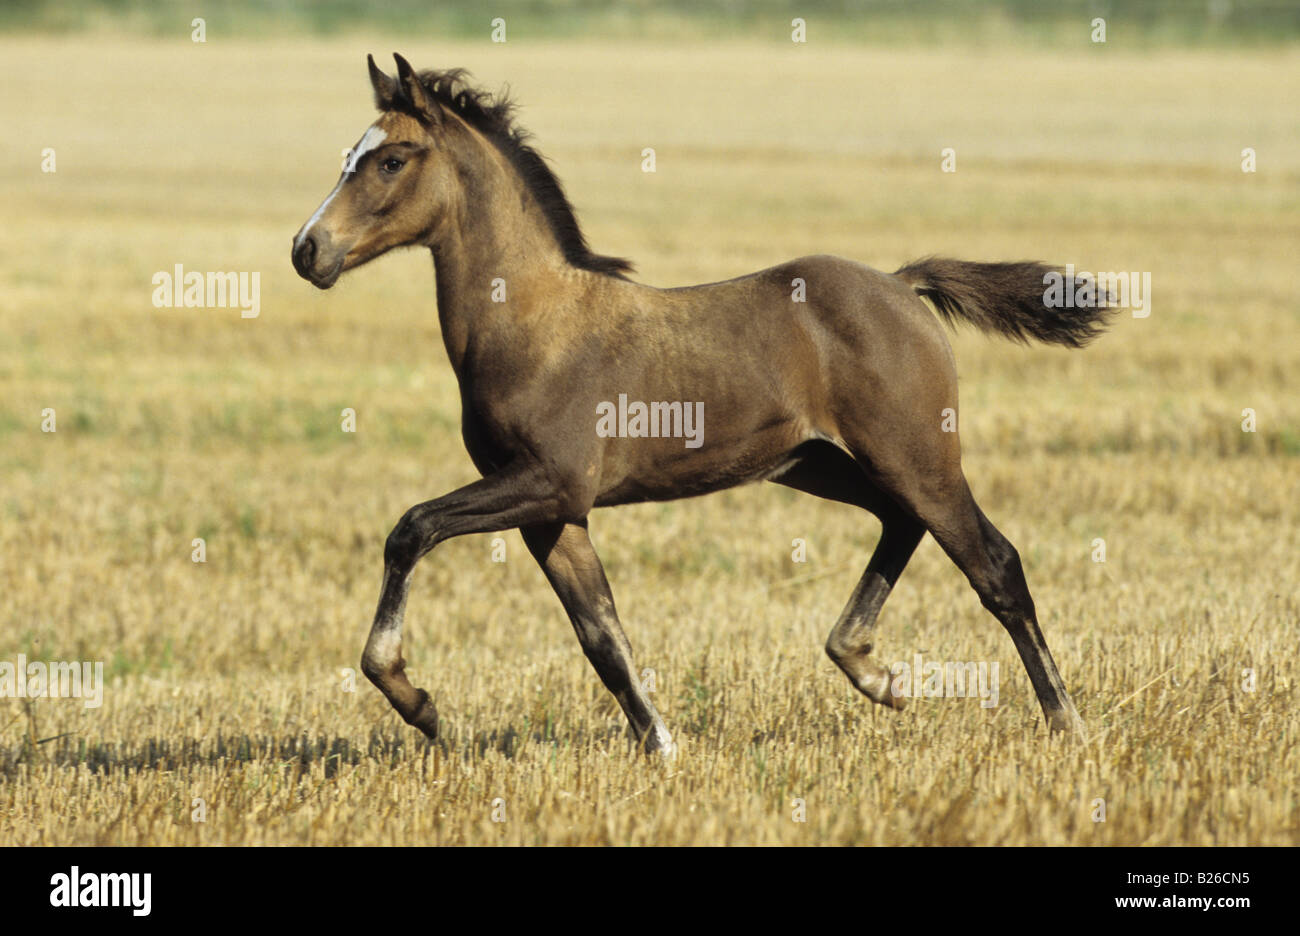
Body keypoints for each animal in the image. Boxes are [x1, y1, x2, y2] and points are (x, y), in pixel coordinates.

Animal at [291, 54, 1112, 756]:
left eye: (390, 160)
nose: (308, 250)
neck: (531, 320)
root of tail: (902, 286)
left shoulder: (548, 484)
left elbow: (411, 529)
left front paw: (417, 702)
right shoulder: (552, 514)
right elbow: (602, 636)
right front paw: (661, 746)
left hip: (918, 457)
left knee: (994, 565)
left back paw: (1066, 723)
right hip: (820, 464)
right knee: (901, 523)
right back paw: (871, 672)